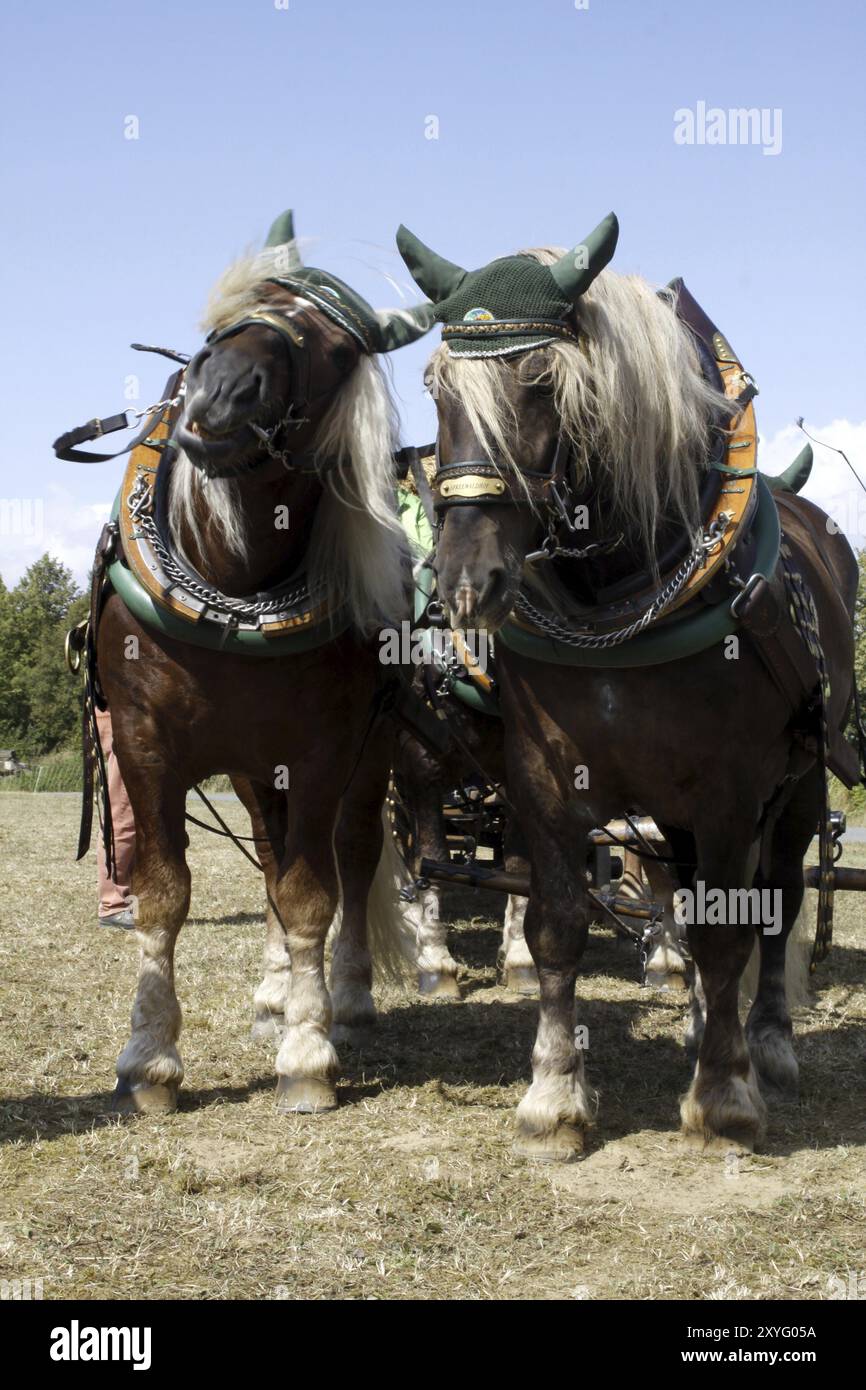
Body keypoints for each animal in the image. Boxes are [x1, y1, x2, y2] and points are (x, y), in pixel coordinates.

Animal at [92, 209, 432, 1115]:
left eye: (337, 349)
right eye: (233, 314)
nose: (219, 393)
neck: (230, 579)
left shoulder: (322, 751)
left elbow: (313, 895)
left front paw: (309, 1054)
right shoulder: (142, 744)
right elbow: (164, 896)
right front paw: (150, 1059)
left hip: (370, 753)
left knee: (349, 851)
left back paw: (342, 996)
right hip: (250, 770)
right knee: (272, 855)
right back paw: (276, 991)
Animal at [396, 214, 858, 1160]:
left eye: (541, 380)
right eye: (435, 385)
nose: (463, 582)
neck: (621, 599)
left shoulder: (730, 791)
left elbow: (729, 929)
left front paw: (723, 1096)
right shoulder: (540, 778)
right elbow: (557, 922)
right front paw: (554, 1096)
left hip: (795, 787)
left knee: (778, 900)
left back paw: (764, 1042)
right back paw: (700, 1017)